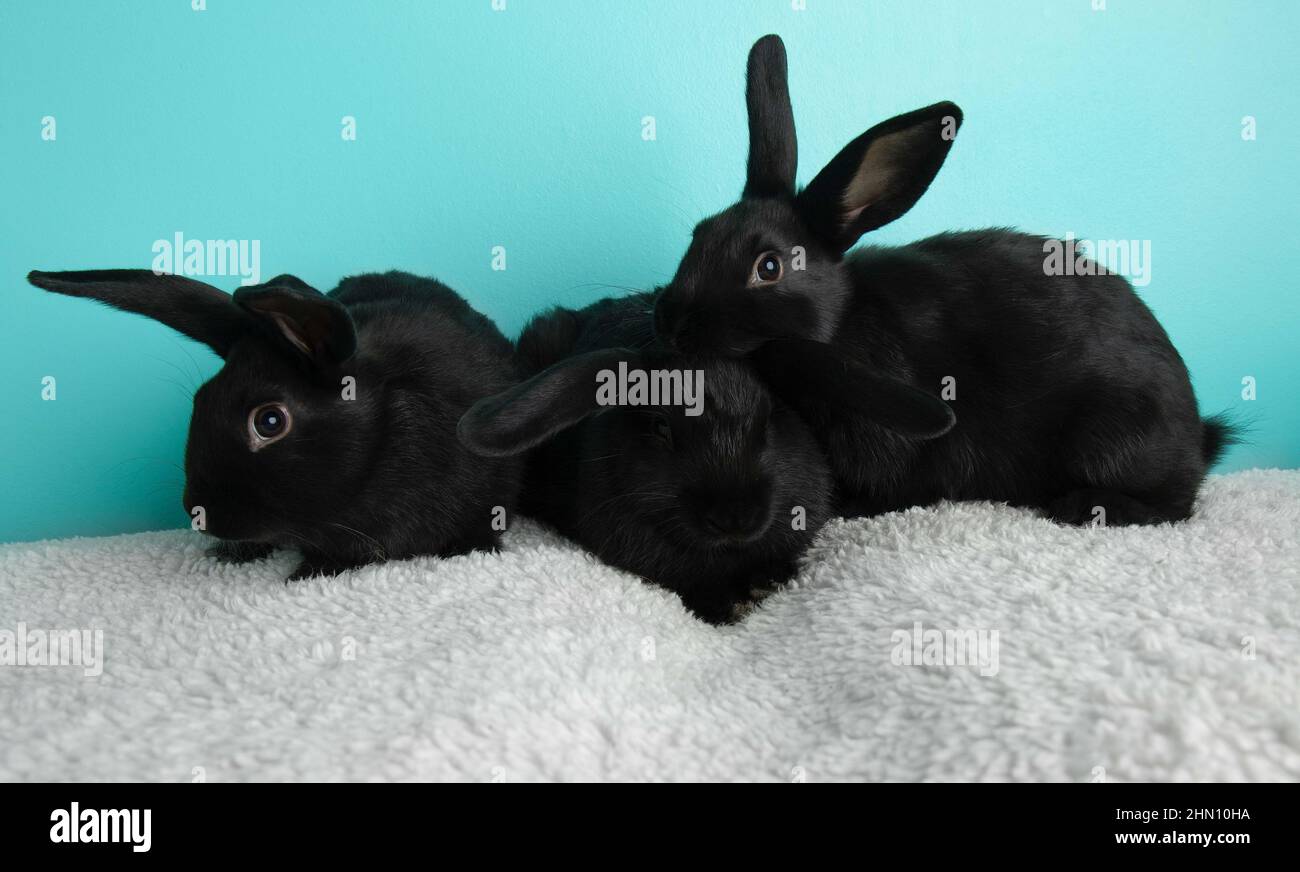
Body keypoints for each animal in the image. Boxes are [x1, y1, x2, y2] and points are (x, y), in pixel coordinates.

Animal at [651, 34, 1236, 526]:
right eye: (698, 234)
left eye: (768, 267)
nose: (671, 323)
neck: (840, 325)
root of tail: (1195, 433)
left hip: (1111, 438)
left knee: (1176, 506)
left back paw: (1083, 505)